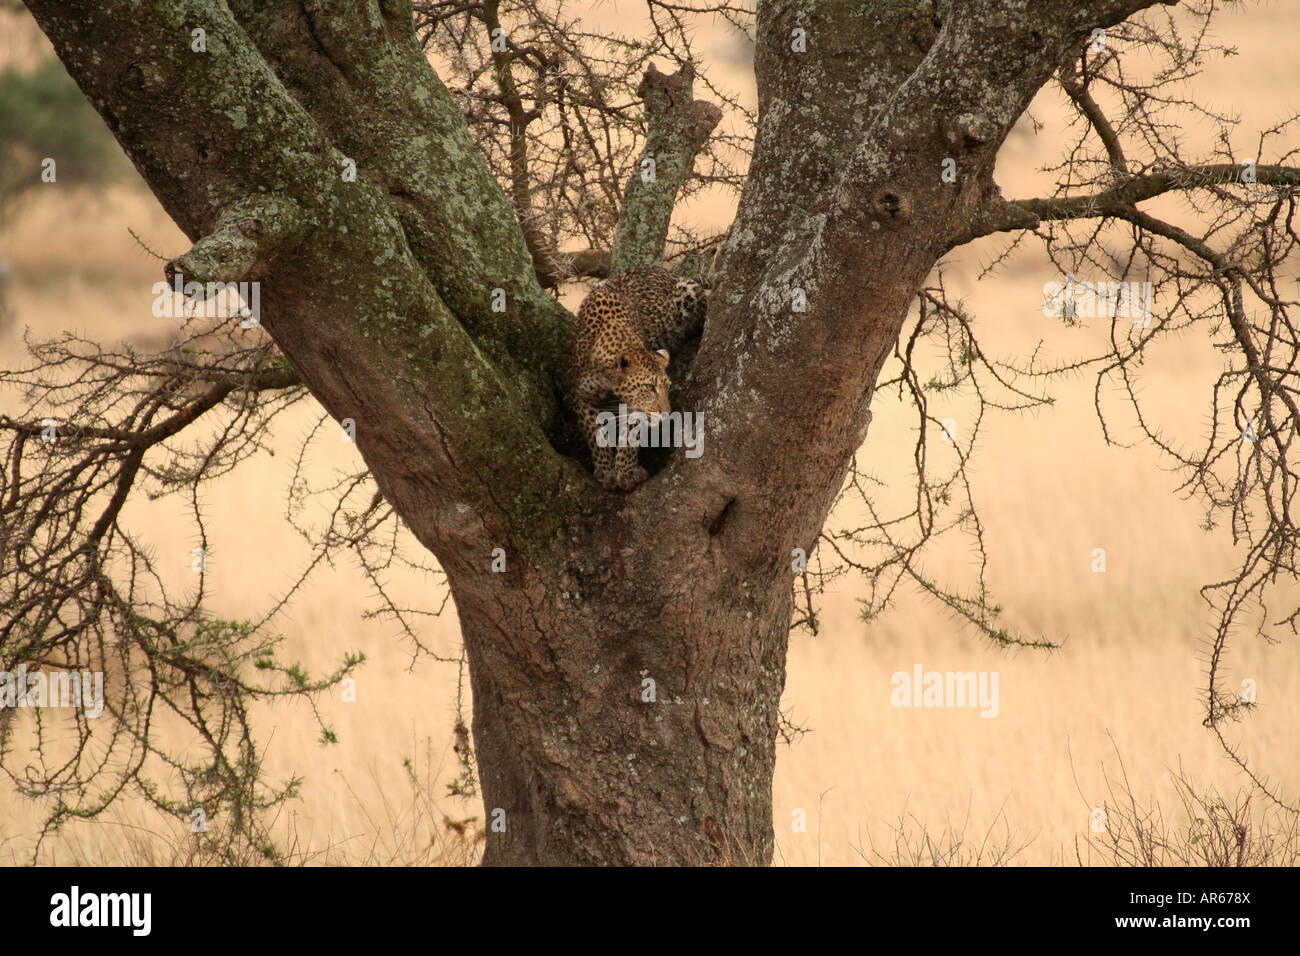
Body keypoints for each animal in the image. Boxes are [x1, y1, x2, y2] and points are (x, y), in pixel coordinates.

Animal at [567, 267, 708, 491]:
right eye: (649, 387)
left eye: (667, 387)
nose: (667, 414)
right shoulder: (580, 394)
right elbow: (594, 431)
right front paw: (606, 470)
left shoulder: (635, 406)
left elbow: (630, 433)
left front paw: (626, 473)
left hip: (688, 289)